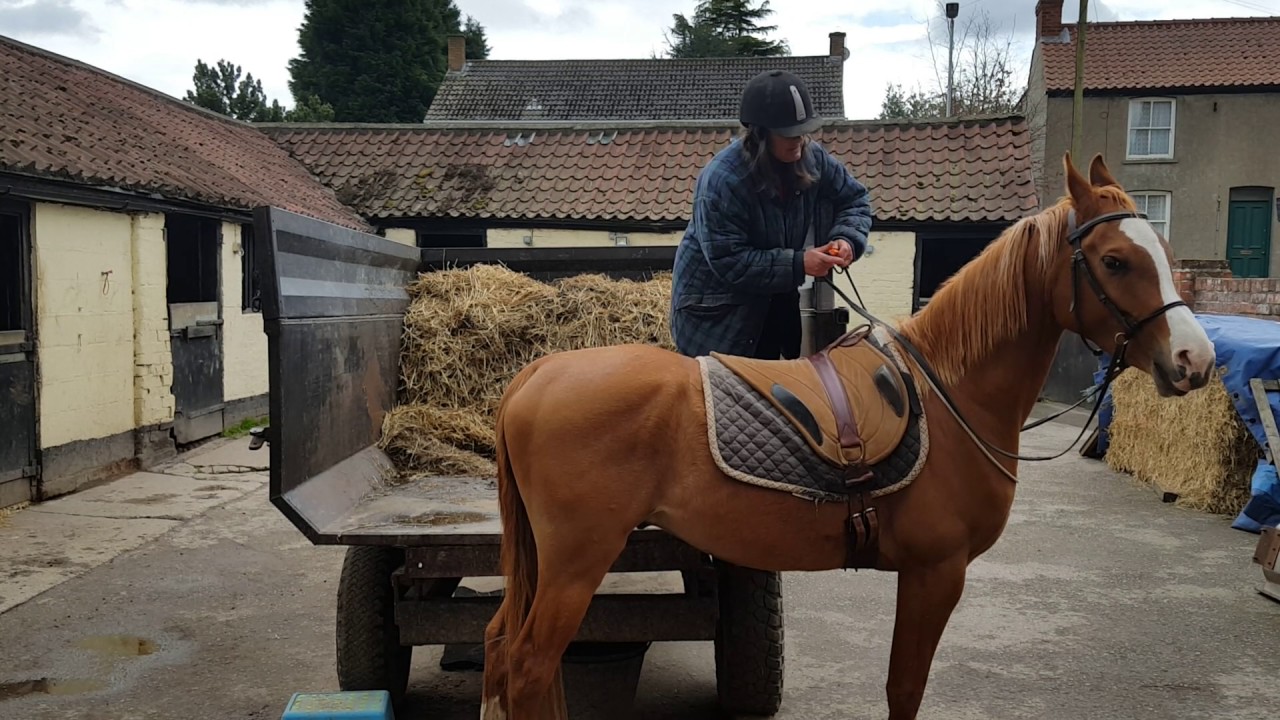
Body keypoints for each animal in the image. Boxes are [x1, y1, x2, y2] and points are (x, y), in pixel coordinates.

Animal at [477, 153, 1216, 719]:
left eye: (1161, 253)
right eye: (1115, 261)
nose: (1196, 360)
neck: (948, 393)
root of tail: (536, 373)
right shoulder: (935, 573)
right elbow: (903, 689)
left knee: (502, 650)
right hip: (577, 559)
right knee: (530, 663)